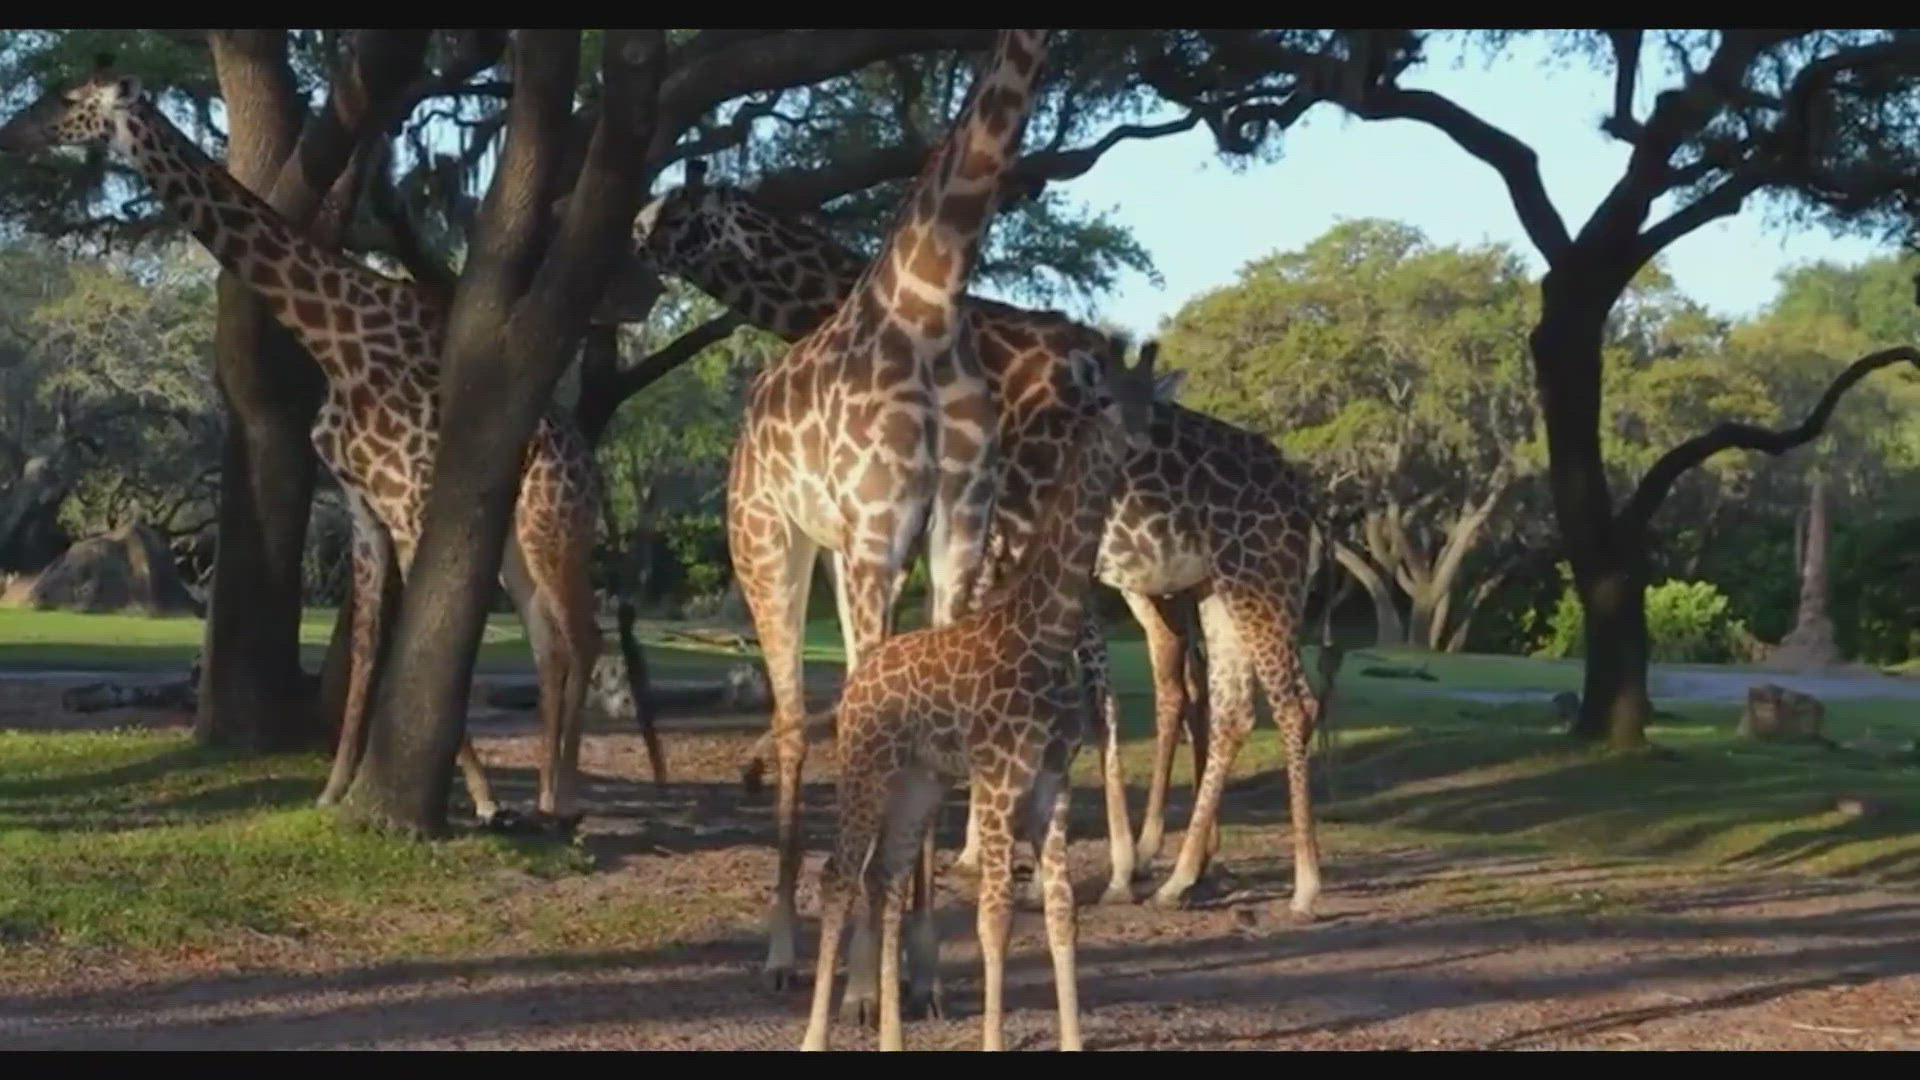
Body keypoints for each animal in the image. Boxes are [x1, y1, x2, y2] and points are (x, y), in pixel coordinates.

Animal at [0, 59, 603, 830]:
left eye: (69, 99)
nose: (12, 133)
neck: (333, 340)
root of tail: (585, 455)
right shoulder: (365, 508)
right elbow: (372, 651)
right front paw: (338, 790)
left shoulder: (411, 502)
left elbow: (416, 645)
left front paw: (480, 797)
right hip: (512, 537)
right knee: (549, 640)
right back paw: (549, 795)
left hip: (553, 522)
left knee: (582, 636)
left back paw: (567, 802)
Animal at [633, 169, 1338, 915]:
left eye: (680, 211)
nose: (636, 238)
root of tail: (1306, 503)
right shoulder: (986, 547)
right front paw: (984, 852)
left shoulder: (1023, 539)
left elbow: (1081, 701)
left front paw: (1091, 867)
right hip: (1208, 586)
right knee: (1219, 700)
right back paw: (1184, 871)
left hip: (1254, 580)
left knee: (1282, 700)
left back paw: (1293, 882)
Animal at [718, 29, 1056, 995]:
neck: (933, 294)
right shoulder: (879, 530)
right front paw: (869, 981)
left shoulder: (956, 534)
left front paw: (923, 965)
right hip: (772, 547)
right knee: (795, 719)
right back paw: (780, 952)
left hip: (843, 554)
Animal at [802, 337, 1160, 1053]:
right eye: (1107, 398)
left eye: (1153, 401)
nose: (1138, 440)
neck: (1043, 633)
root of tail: (858, 681)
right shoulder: (999, 777)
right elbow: (995, 913)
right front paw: (995, 1041)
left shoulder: (1052, 781)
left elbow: (1060, 912)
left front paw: (1073, 1042)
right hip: (866, 766)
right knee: (838, 874)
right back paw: (814, 1039)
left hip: (922, 779)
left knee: (884, 877)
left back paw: (891, 1039)